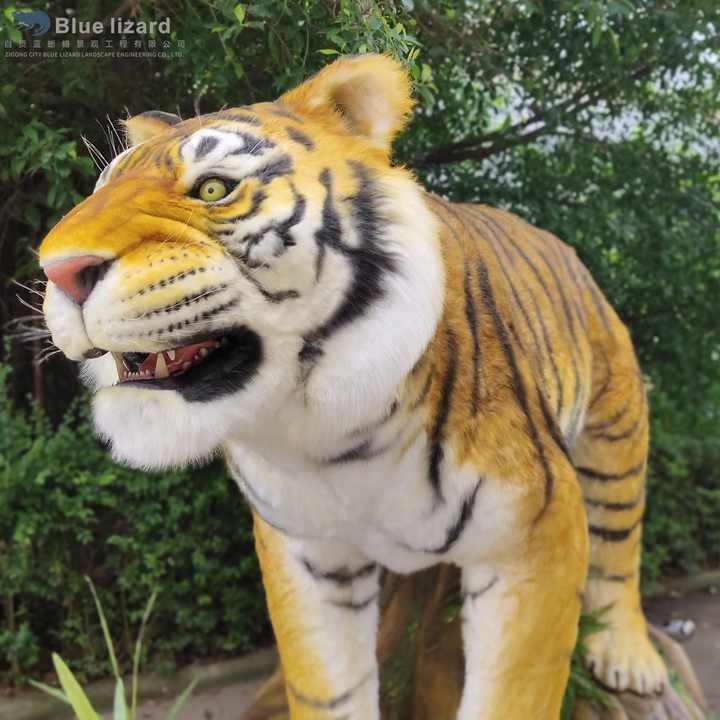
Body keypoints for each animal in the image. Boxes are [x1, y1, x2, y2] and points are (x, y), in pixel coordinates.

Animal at [39, 54, 667, 719]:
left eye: (213, 188)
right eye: (98, 192)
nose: (58, 269)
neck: (326, 437)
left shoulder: (538, 531)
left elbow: (515, 693)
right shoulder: (305, 554)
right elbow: (327, 685)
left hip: (615, 428)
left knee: (620, 542)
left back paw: (630, 659)